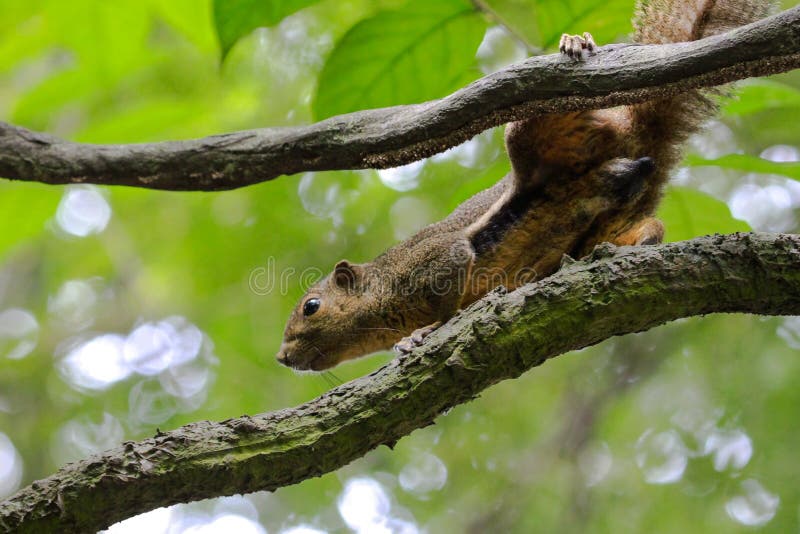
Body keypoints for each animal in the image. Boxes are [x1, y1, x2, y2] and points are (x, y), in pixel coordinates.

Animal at [277, 0, 773, 371]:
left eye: (311, 306)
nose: (282, 356)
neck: (383, 292)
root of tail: (639, 133)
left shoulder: (436, 260)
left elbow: (447, 301)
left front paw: (422, 334)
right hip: (615, 218)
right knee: (646, 225)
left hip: (540, 136)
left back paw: (578, 44)